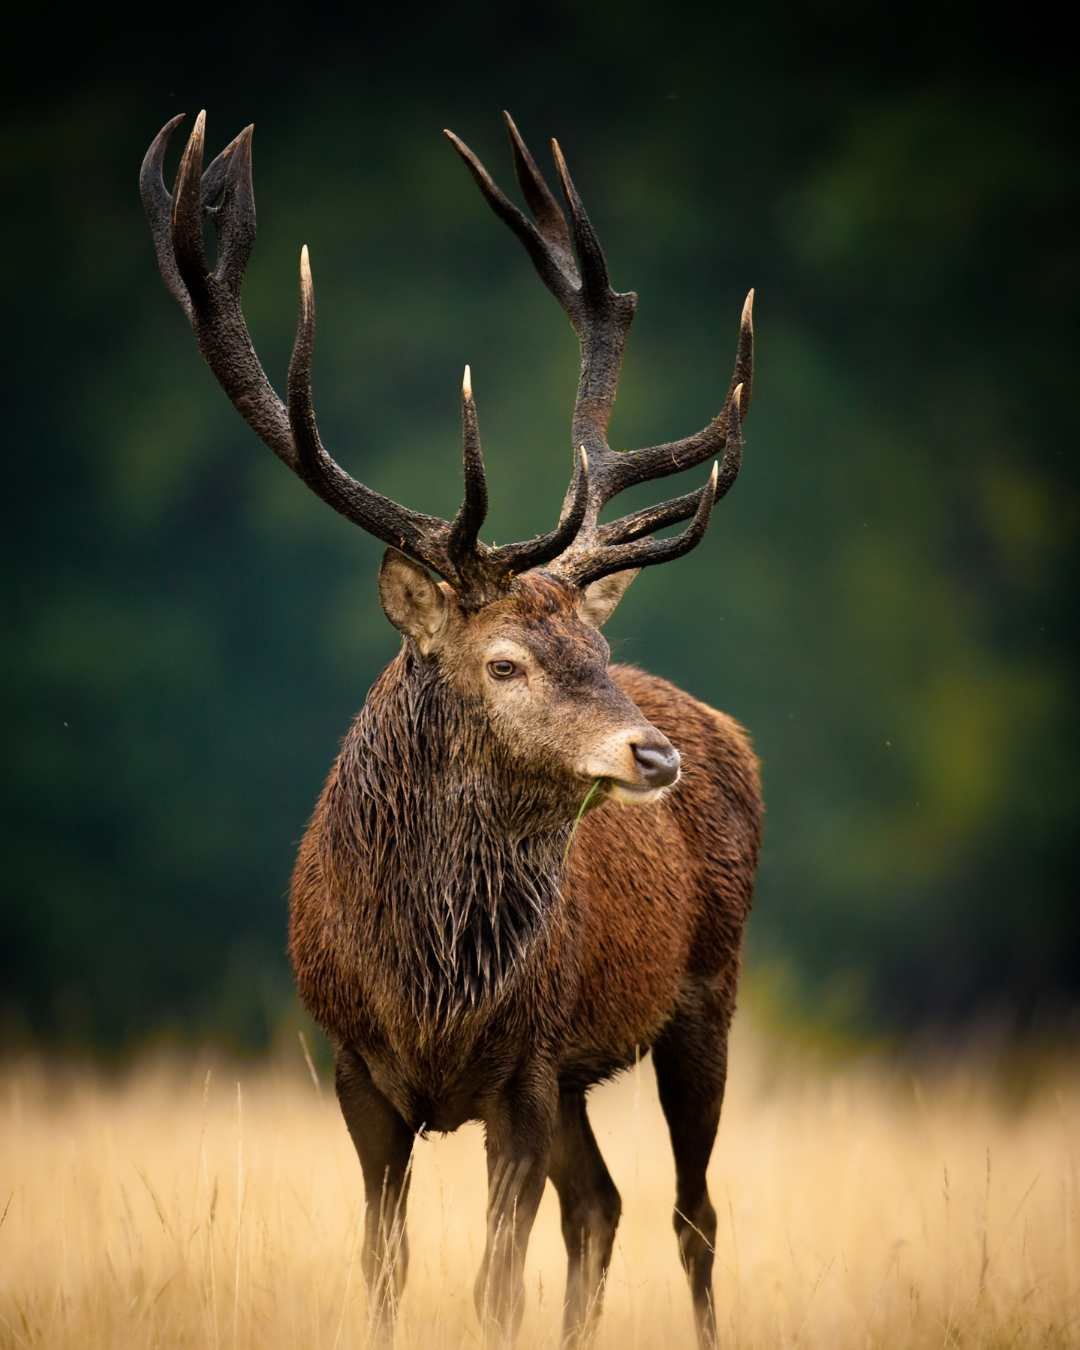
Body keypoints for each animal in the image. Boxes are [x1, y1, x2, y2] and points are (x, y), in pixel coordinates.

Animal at [140, 108, 762, 1348]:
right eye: (504, 661)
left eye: (597, 655)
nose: (651, 755)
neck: (428, 992)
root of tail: (727, 730)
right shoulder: (355, 1071)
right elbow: (382, 1267)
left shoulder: (523, 1069)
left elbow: (493, 1287)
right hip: (582, 1075)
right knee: (603, 1205)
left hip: (705, 993)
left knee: (692, 1213)